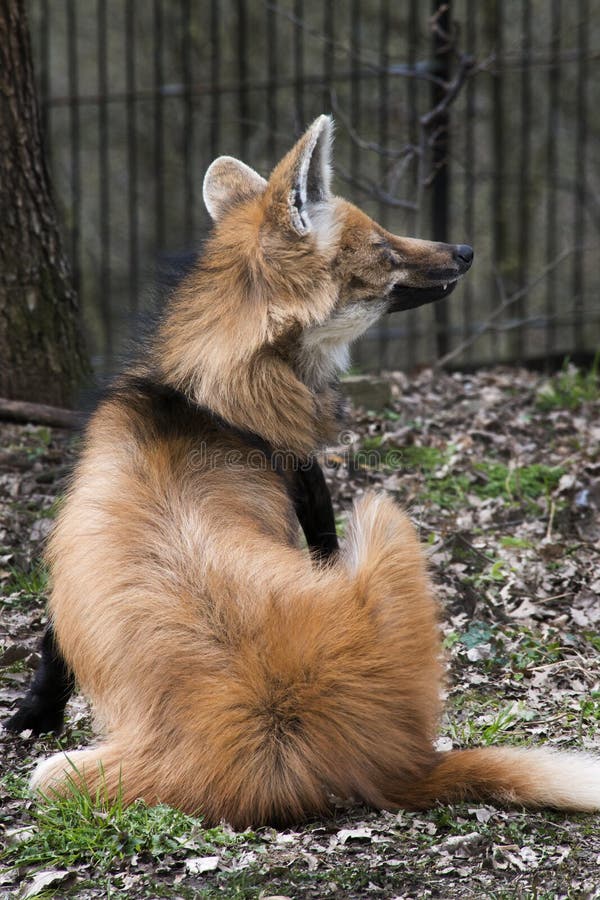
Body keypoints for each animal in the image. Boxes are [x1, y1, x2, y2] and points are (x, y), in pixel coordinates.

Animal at [19, 116, 600, 827]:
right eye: (382, 245)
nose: (464, 249)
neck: (203, 398)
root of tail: (391, 764)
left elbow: (53, 636)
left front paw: (31, 713)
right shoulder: (304, 489)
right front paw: (34, 713)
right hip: (382, 516)